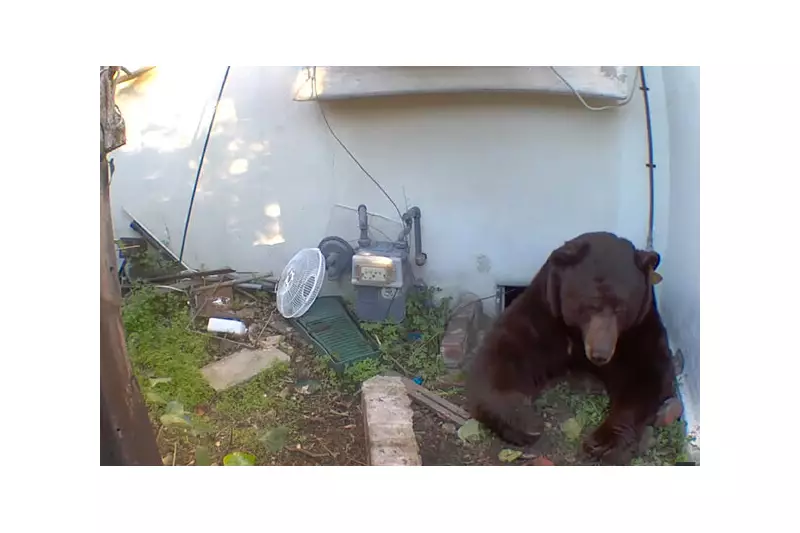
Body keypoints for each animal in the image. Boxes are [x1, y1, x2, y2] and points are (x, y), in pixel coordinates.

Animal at [465, 231, 677, 465]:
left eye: (621, 308)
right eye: (591, 305)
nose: (600, 354)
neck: (577, 334)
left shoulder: (638, 330)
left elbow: (647, 374)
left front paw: (602, 442)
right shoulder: (545, 314)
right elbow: (502, 352)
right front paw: (525, 422)